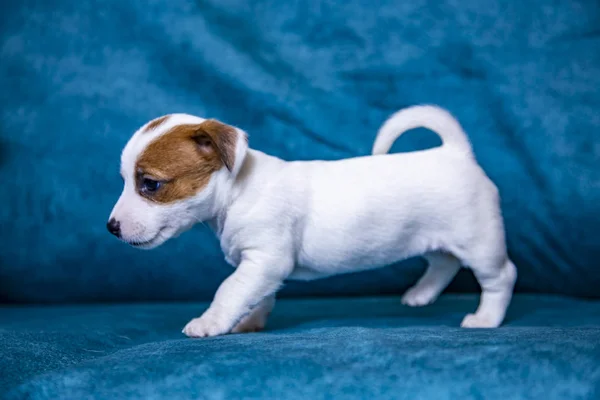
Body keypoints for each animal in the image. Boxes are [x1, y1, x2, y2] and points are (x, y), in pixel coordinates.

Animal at [106, 104, 516, 336]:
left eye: (150, 184)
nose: (111, 227)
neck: (238, 191)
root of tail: (455, 153)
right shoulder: (260, 268)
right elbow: (256, 297)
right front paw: (248, 322)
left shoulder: (264, 260)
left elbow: (229, 290)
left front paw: (212, 323)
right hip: (430, 237)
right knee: (443, 262)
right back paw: (421, 294)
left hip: (479, 242)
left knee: (501, 276)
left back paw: (486, 318)